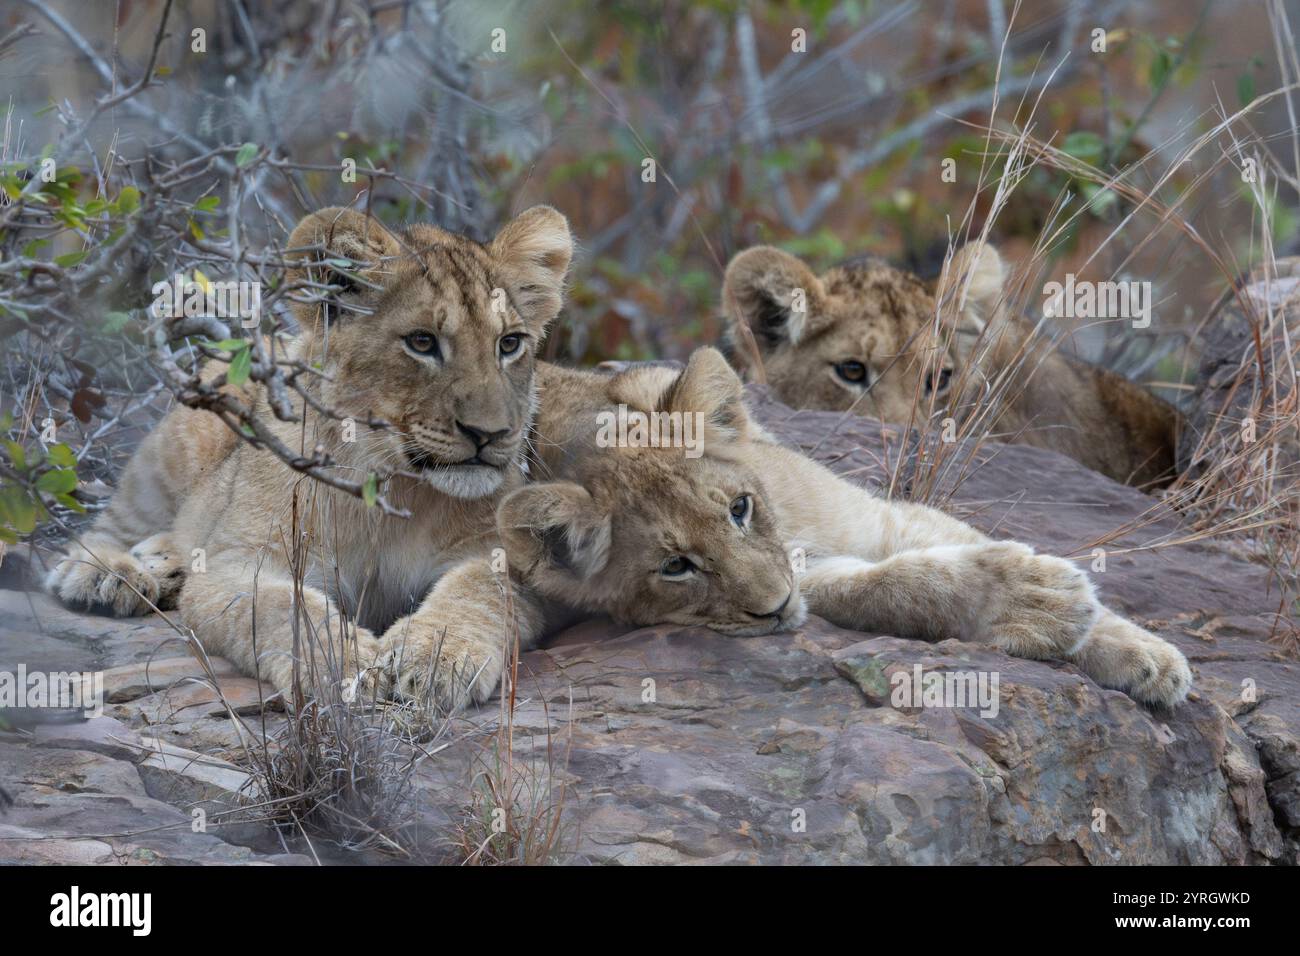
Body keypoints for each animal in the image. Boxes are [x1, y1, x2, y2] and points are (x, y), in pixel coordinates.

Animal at [47, 205, 572, 706]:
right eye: (422, 342)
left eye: (509, 344)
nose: (491, 433)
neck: (390, 487)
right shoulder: (242, 563)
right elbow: (284, 608)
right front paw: (344, 665)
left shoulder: (506, 555)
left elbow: (478, 591)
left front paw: (437, 657)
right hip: (178, 446)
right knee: (113, 523)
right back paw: (106, 574)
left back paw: (165, 560)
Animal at [491, 348, 1192, 707]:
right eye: (676, 567)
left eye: (739, 508)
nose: (776, 607)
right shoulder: (817, 577)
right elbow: (900, 586)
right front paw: (1039, 604)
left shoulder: (881, 517)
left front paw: (1143, 654)